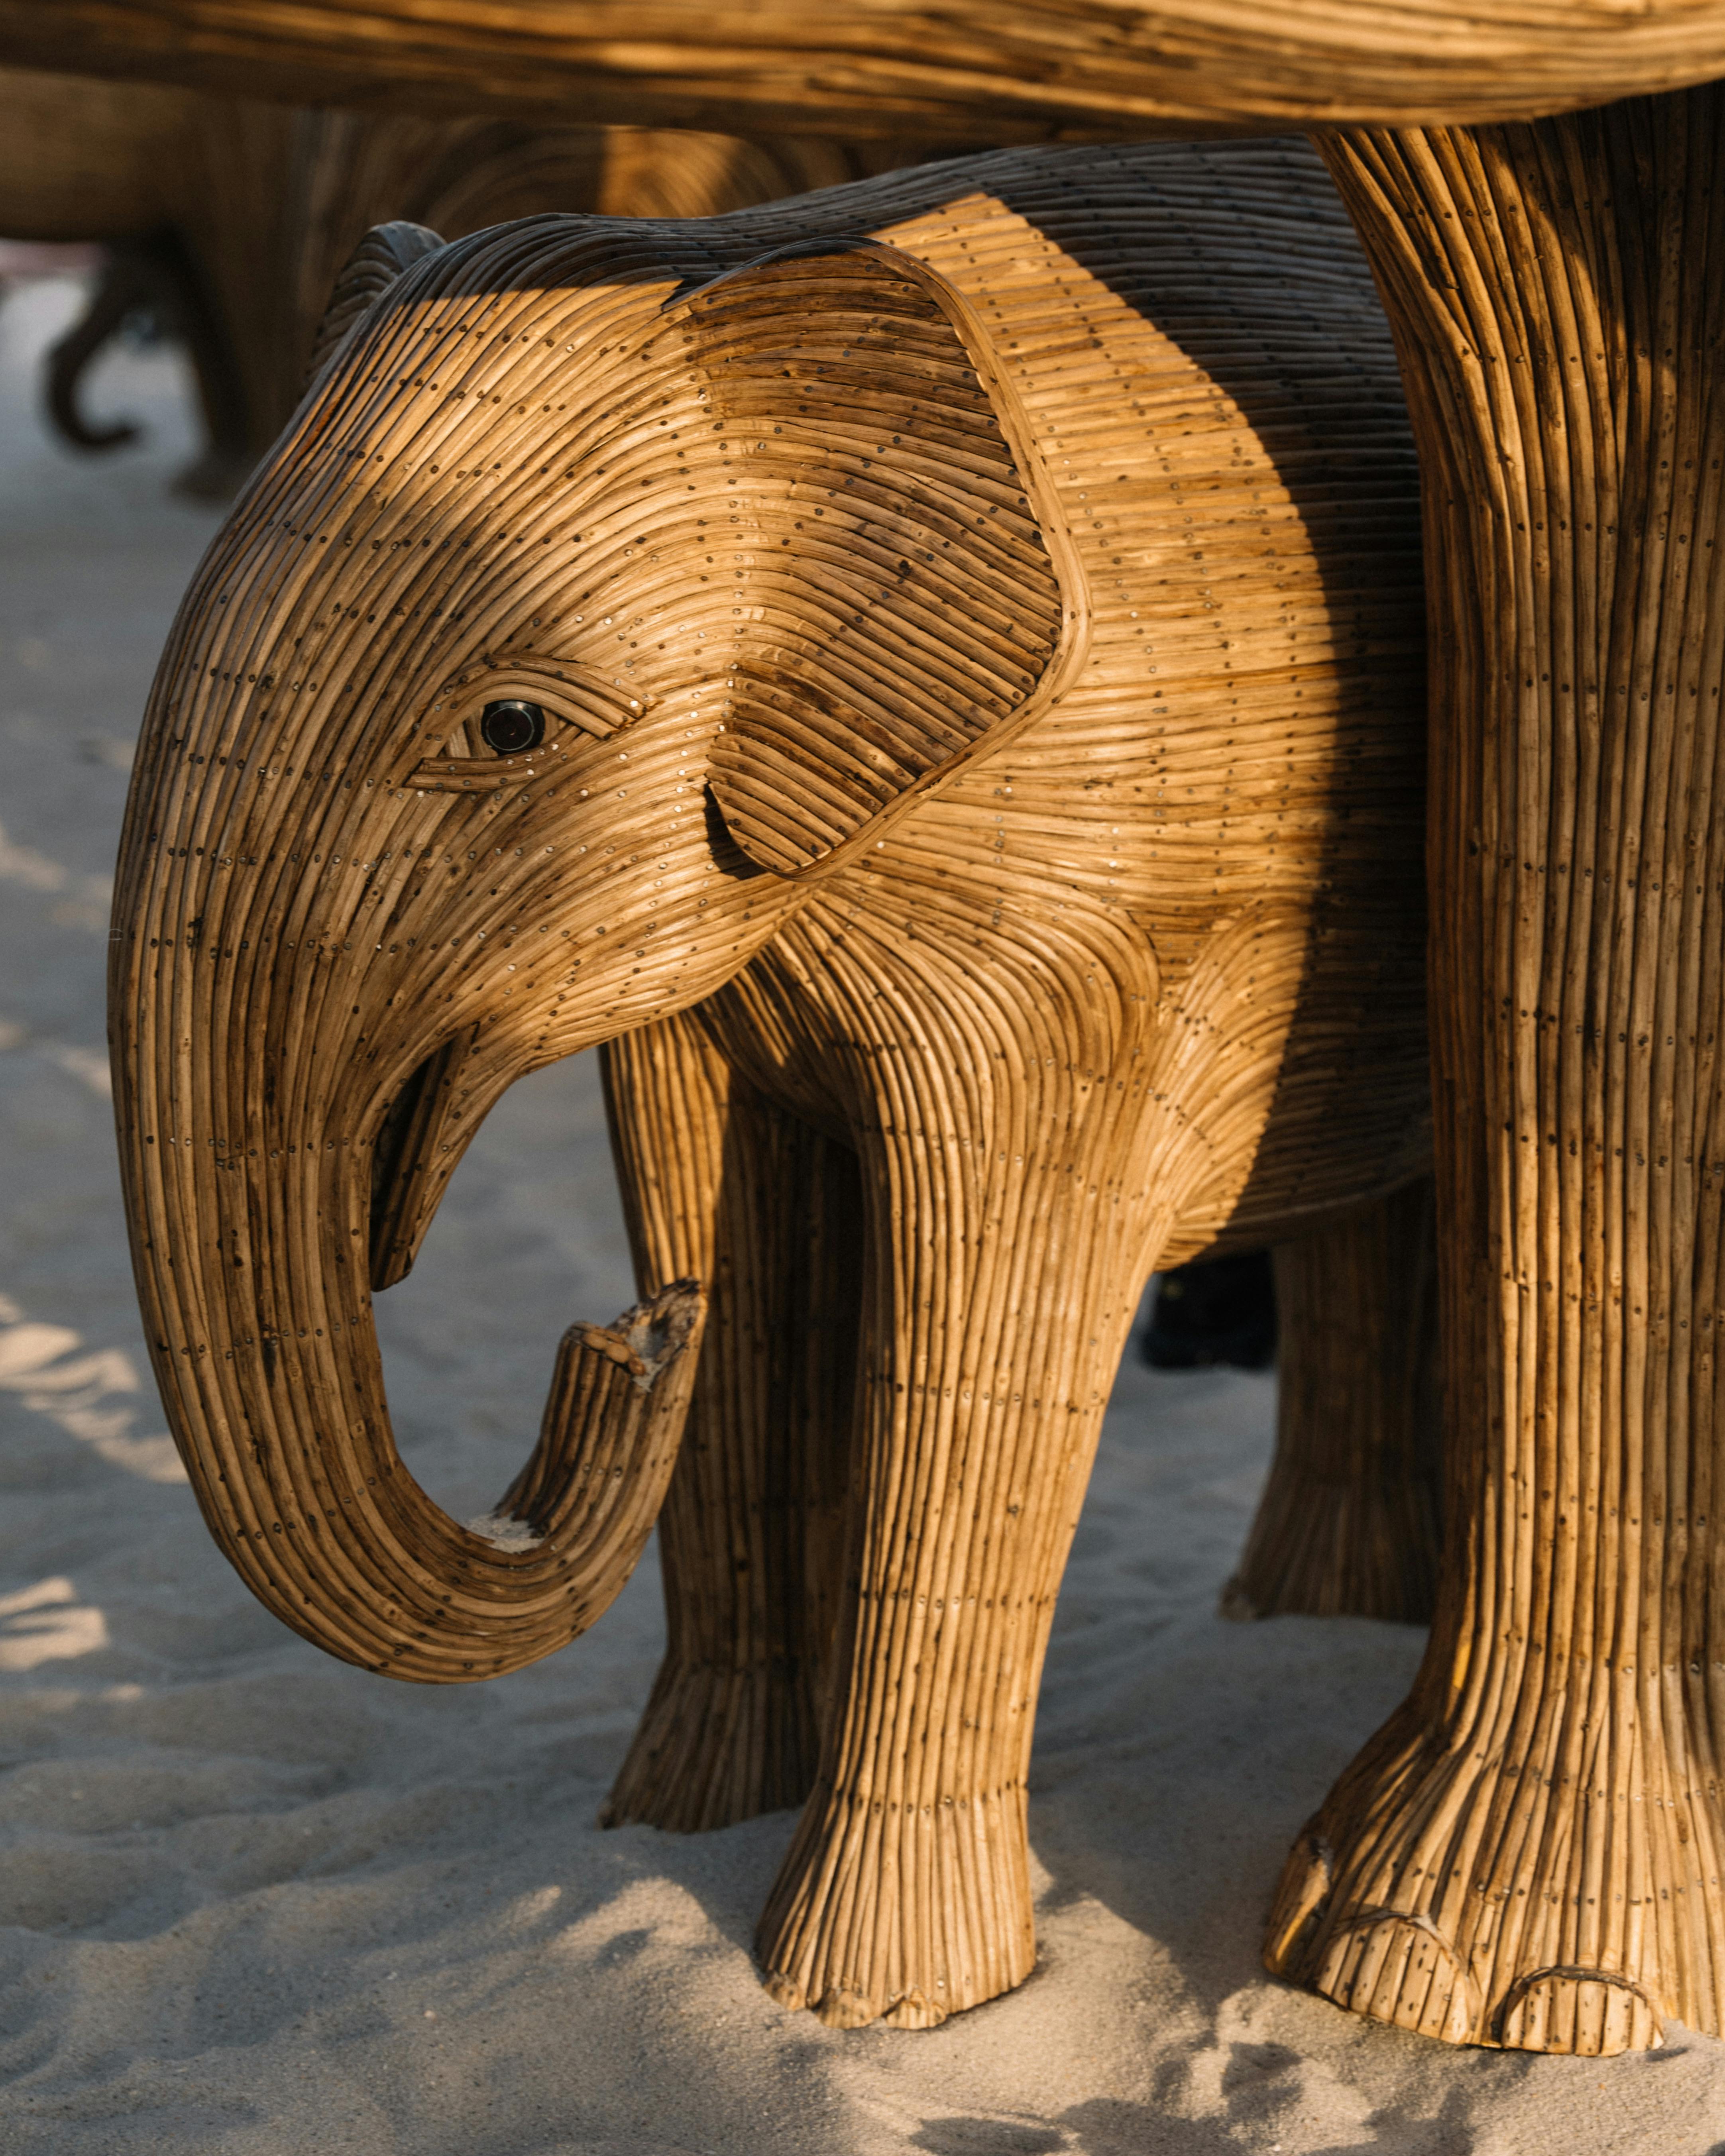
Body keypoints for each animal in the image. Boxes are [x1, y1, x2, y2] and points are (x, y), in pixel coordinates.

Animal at [111, 133, 1432, 2029]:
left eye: (507, 728)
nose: (613, 1340)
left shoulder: (1076, 897)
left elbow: (981, 1311)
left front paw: (859, 1993)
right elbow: (706, 1179)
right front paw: (662, 1834)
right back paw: (1298, 1619)